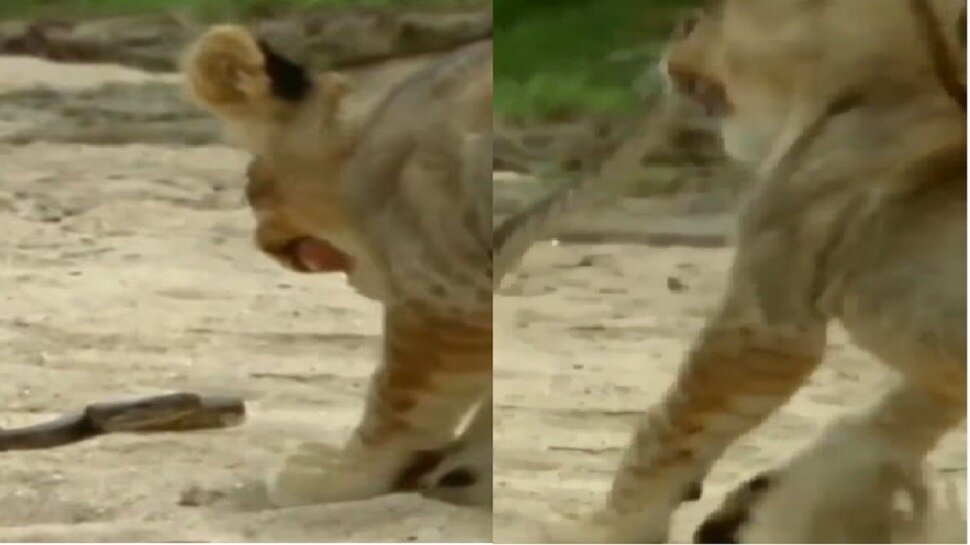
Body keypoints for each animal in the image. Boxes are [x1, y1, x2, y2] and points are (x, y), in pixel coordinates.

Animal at [539, 0, 966, 542]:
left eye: (715, 11)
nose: (682, 24)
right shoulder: (938, 373)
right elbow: (877, 427)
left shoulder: (765, 328)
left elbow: (663, 429)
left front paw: (607, 529)